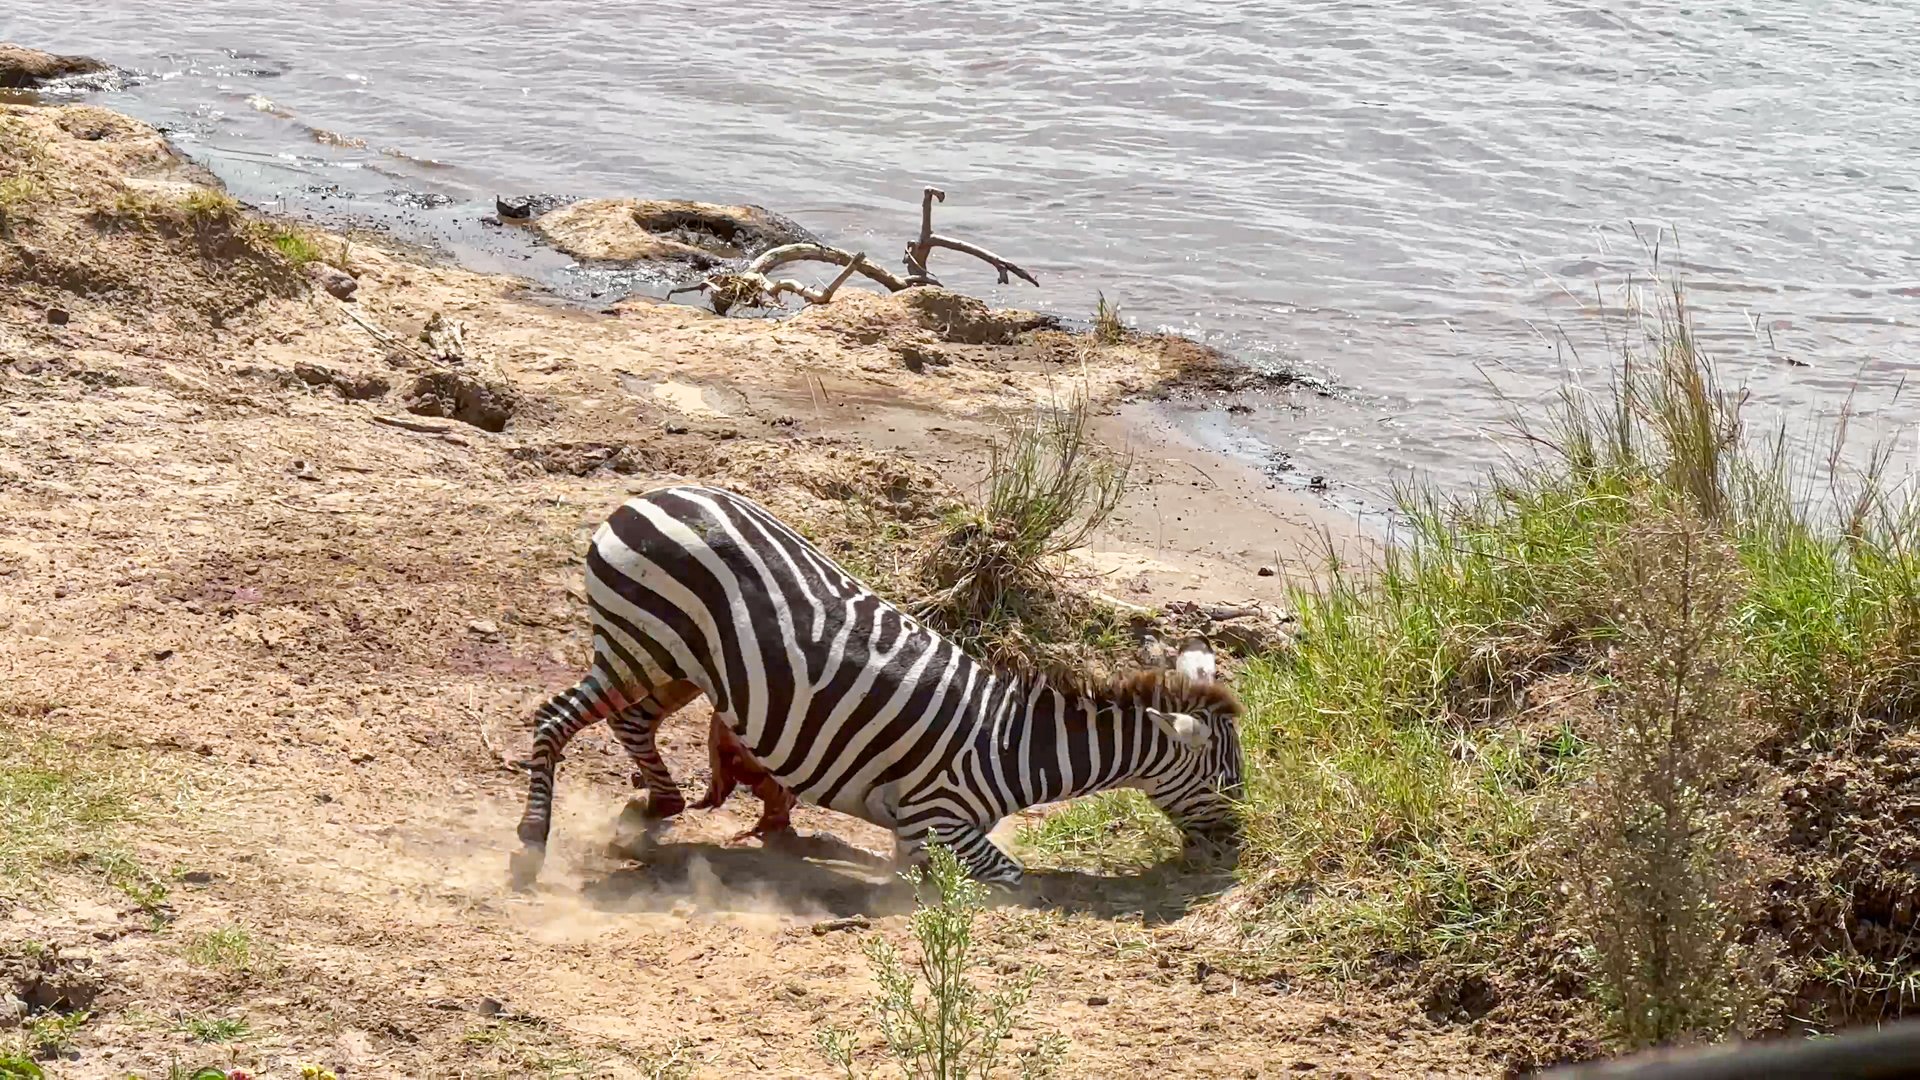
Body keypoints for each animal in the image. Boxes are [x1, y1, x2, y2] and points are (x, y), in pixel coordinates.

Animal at [511, 484, 1244, 887]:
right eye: (1227, 782)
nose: (1234, 853)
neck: (1016, 750)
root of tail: (650, 495)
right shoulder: (934, 817)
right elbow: (1008, 876)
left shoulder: (912, 831)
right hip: (639, 645)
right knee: (555, 717)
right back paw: (532, 837)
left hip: (683, 664)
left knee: (631, 722)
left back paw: (659, 805)